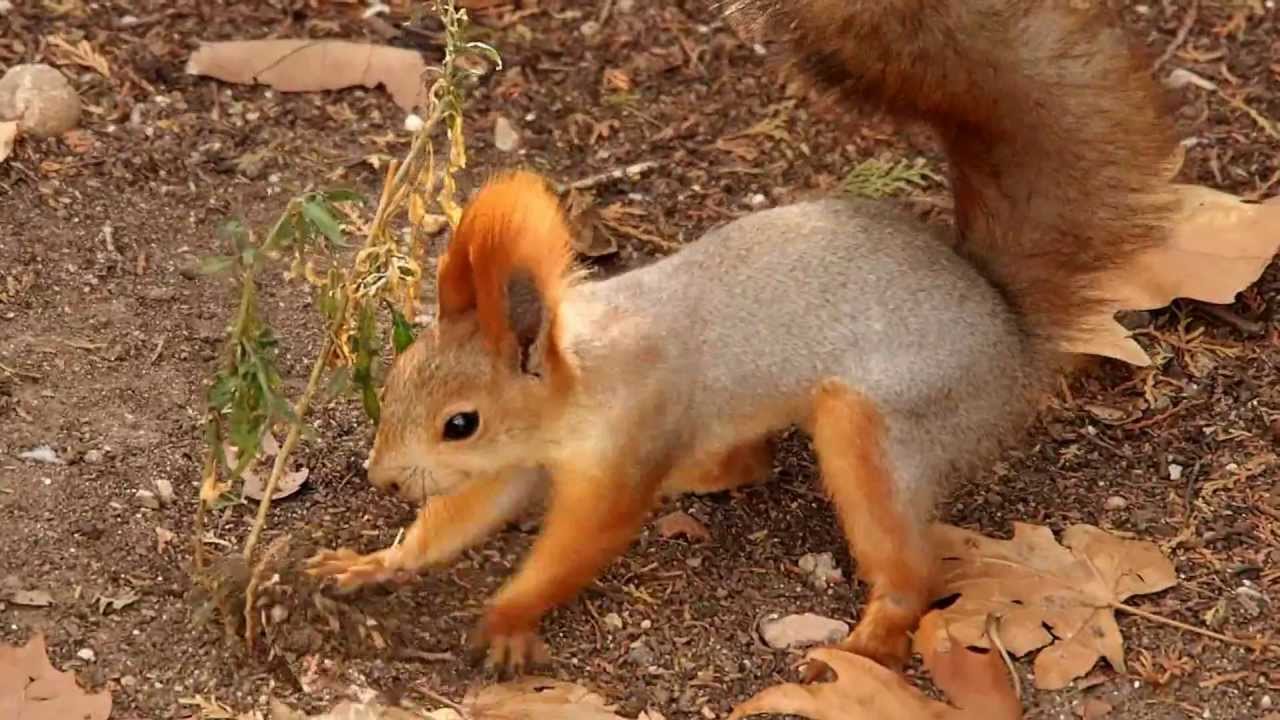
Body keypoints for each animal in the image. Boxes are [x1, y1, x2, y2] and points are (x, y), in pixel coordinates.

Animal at [307, 0, 1181, 676]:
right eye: (396, 379)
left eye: (460, 422)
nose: (381, 477)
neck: (582, 379)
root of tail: (1008, 333)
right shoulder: (524, 460)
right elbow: (465, 515)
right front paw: (380, 561)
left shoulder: (629, 438)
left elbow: (582, 542)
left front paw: (508, 618)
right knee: (752, 460)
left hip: (879, 423)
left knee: (910, 564)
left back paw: (864, 645)